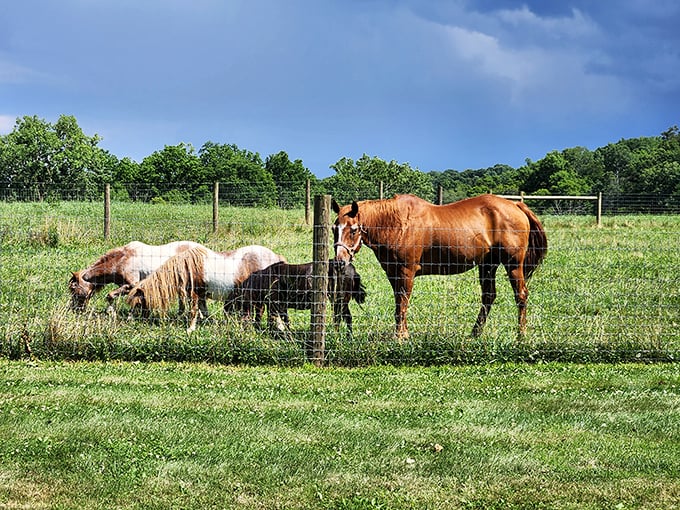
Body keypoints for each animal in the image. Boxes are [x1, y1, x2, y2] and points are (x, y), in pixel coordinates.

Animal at [69, 240, 203, 313]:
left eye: (73, 288)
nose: (74, 309)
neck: (122, 259)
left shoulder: (132, 285)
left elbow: (110, 295)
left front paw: (111, 312)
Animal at [126, 244, 286, 333]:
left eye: (138, 304)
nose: (129, 320)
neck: (187, 267)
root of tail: (275, 257)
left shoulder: (194, 293)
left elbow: (193, 310)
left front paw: (190, 329)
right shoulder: (202, 295)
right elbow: (204, 311)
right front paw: (209, 323)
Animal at [224, 260, 366, 334]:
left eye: (232, 297)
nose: (225, 310)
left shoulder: (275, 304)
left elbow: (278, 320)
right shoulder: (275, 305)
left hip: (338, 300)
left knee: (339, 318)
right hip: (342, 301)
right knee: (347, 318)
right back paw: (348, 337)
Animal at [332, 193, 548, 339]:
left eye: (353, 230)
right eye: (334, 229)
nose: (339, 261)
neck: (398, 224)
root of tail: (516, 205)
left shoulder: (406, 272)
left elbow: (403, 302)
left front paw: (401, 336)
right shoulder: (393, 273)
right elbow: (398, 303)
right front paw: (401, 333)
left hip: (513, 265)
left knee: (521, 296)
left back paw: (520, 336)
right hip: (487, 265)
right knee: (488, 296)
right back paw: (475, 333)